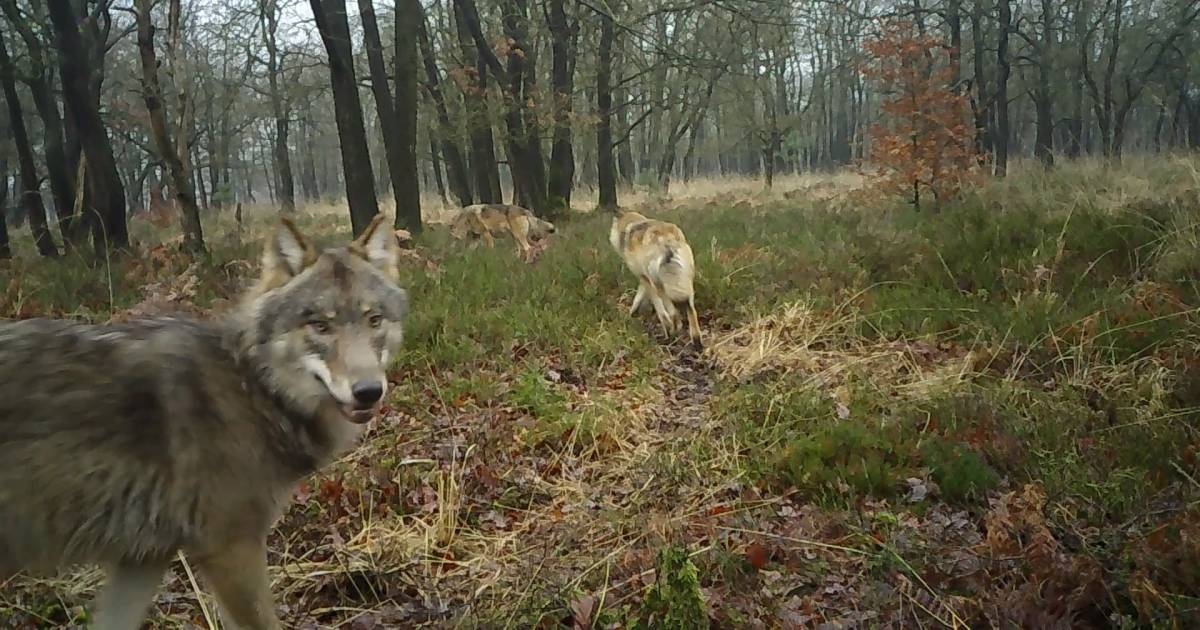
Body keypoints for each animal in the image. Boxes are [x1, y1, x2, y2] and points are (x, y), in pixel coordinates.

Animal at [0, 214, 408, 630]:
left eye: (374, 320)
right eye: (320, 326)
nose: (368, 391)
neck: (251, 387)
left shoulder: (143, 558)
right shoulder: (232, 549)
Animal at [609, 211, 701, 348]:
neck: (629, 227)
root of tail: (667, 241)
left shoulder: (644, 278)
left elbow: (659, 309)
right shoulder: (644, 279)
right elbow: (639, 297)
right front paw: (632, 312)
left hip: (660, 285)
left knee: (673, 314)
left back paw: (672, 332)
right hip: (687, 285)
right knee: (691, 312)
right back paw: (696, 342)